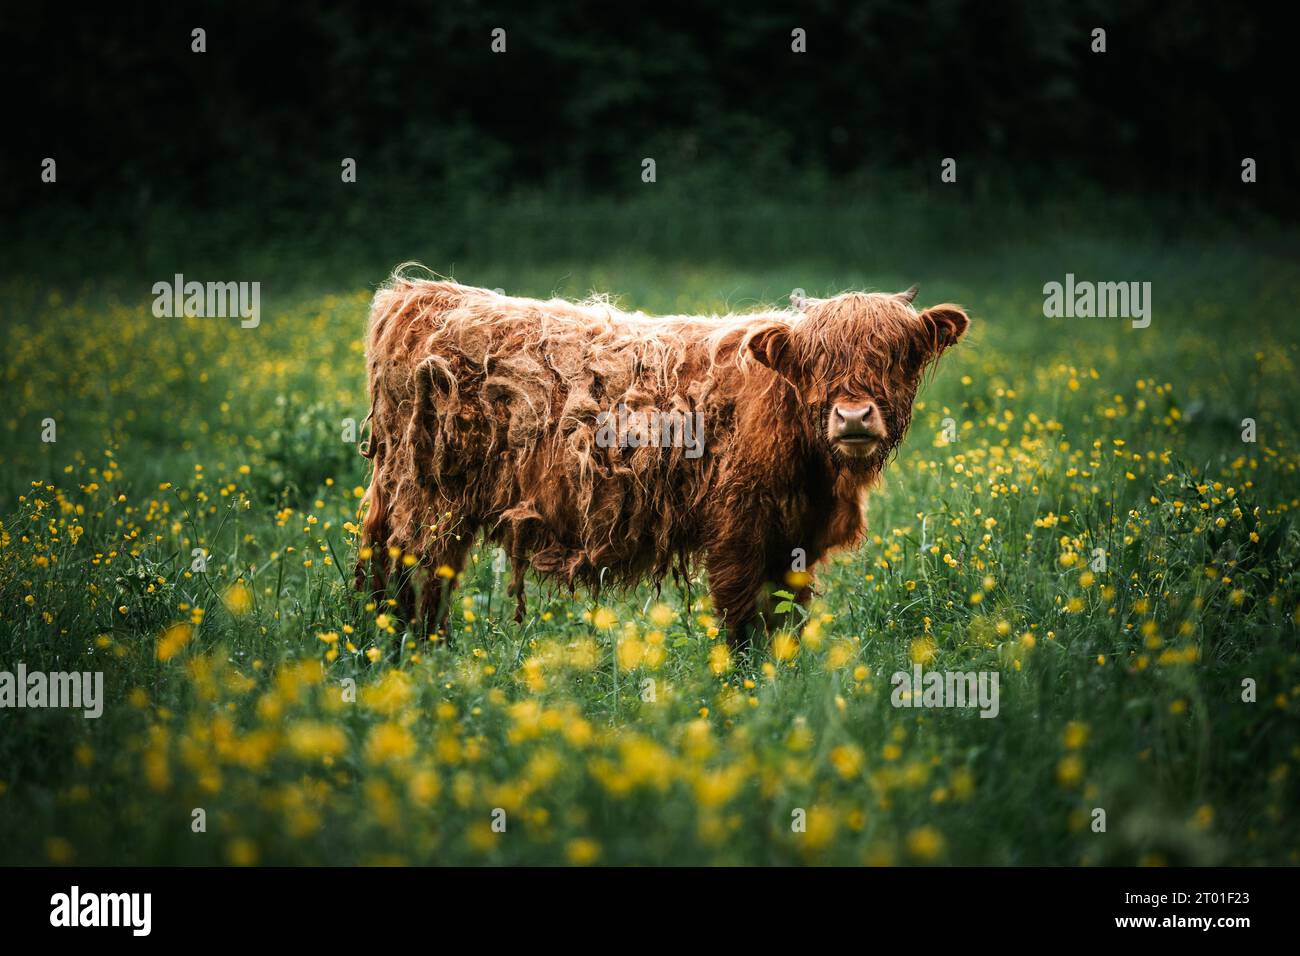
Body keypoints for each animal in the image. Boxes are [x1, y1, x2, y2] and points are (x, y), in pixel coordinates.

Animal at [355, 270, 970, 644]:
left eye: (899, 354)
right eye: (816, 359)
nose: (854, 417)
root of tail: (418, 295)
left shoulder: (794, 542)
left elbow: (785, 621)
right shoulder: (736, 534)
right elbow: (743, 624)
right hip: (426, 502)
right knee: (414, 575)